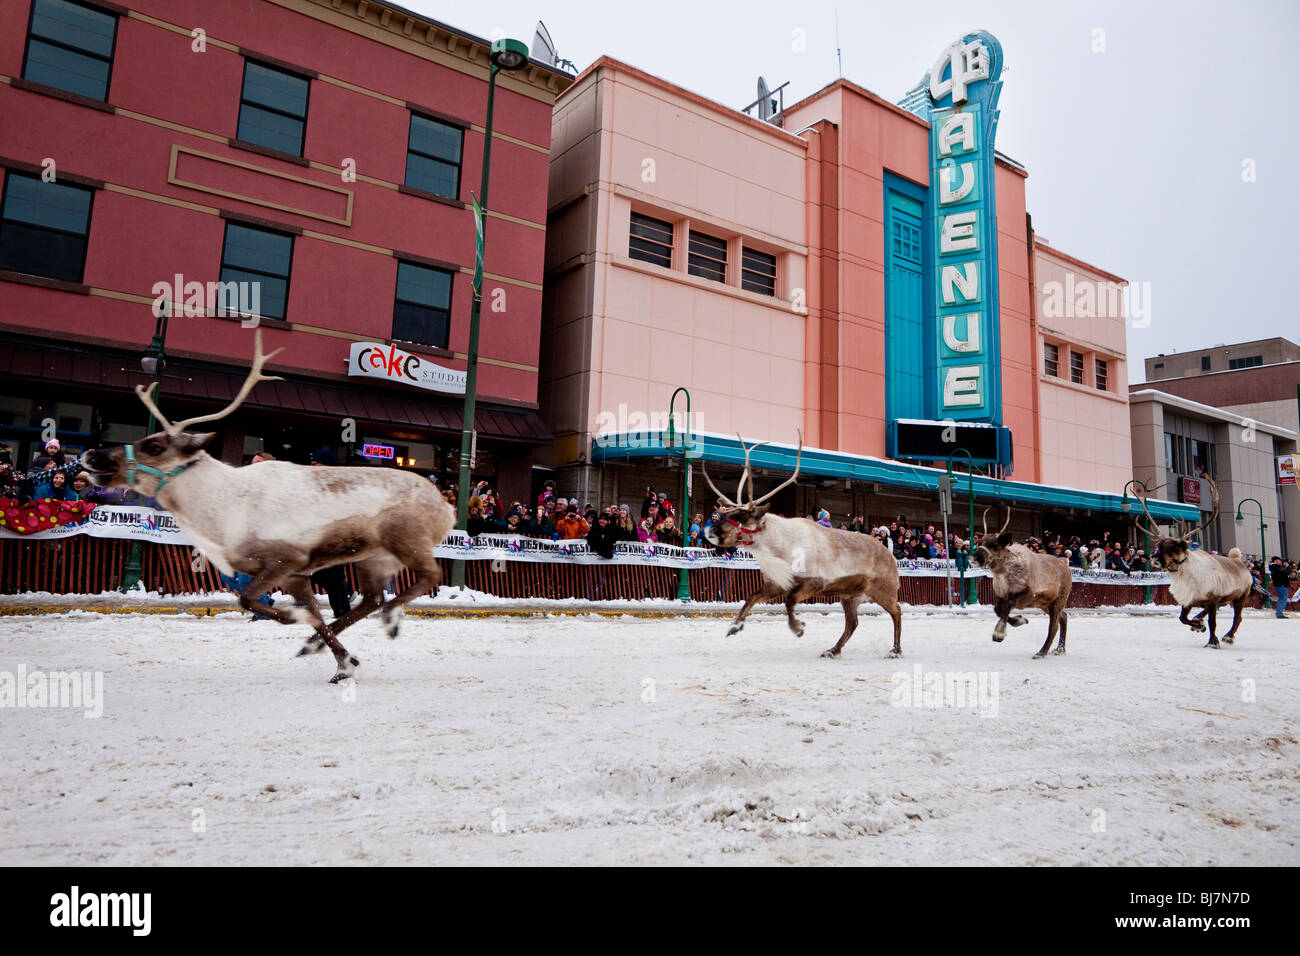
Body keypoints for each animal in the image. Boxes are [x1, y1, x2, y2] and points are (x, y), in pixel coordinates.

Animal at [81, 331, 455, 683]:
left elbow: (250, 599)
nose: (93, 455)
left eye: (155, 446)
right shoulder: (295, 574)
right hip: (373, 557)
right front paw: (342, 662)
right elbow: (313, 612)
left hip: (404, 538)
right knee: (371, 598)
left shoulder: (285, 559)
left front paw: (305, 628)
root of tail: (446, 508)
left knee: (427, 576)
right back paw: (321, 641)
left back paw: (391, 618)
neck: (220, 514)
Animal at [701, 432, 903, 659]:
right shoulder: (777, 583)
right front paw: (735, 626)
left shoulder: (815, 582)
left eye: (743, 517)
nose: (710, 530)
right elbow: (752, 597)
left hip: (883, 589)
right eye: (729, 513)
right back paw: (833, 650)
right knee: (853, 623)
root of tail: (889, 554)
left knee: (896, 611)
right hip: (850, 595)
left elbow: (789, 601)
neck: (778, 548)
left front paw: (797, 627)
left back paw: (895, 650)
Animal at [970, 507, 1072, 657]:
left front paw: (999, 634)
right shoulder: (1001, 595)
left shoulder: (1028, 595)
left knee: (1053, 626)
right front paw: (1021, 619)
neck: (1003, 573)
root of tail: (1064, 562)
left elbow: (1007, 606)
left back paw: (1042, 652)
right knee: (1064, 617)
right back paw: (1060, 649)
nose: (974, 557)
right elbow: (998, 609)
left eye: (994, 544)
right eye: (979, 543)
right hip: (1045, 604)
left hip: (1058, 600)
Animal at [1132, 477, 1251, 647]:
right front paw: (1198, 625)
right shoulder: (1188, 600)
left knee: (1238, 617)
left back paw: (1228, 636)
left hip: (1241, 595)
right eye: (1159, 545)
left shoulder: (1213, 598)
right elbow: (1182, 619)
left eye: (1174, 547)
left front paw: (1212, 642)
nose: (1154, 559)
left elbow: (1212, 623)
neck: (1186, 576)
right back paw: (1199, 619)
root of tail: (1239, 560)